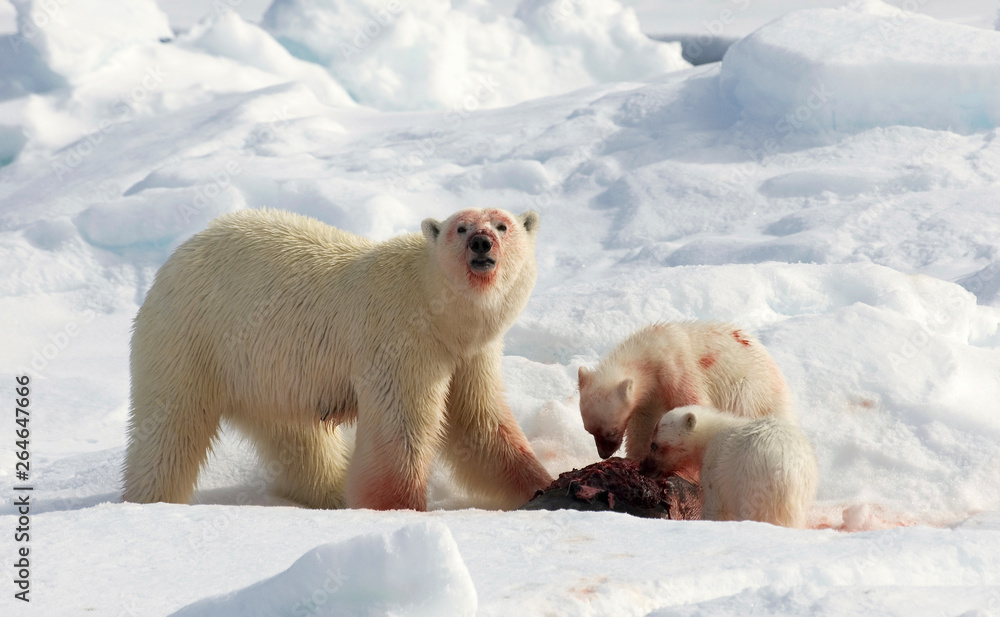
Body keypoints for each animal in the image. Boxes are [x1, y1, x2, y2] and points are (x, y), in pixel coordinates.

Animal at [123, 207, 553, 511]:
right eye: (461, 228)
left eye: (502, 225)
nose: (481, 242)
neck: (436, 311)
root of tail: (172, 262)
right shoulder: (401, 342)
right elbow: (401, 431)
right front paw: (400, 508)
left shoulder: (469, 353)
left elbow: (480, 425)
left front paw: (541, 485)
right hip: (191, 341)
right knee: (170, 430)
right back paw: (148, 500)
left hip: (269, 373)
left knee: (297, 440)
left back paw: (331, 494)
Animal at [577, 321, 795, 461]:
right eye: (589, 430)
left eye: (611, 431)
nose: (604, 454)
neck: (650, 351)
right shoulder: (647, 400)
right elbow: (641, 428)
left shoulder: (677, 368)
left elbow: (693, 402)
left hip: (748, 393)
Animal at [641, 405, 818, 528]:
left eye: (654, 445)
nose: (643, 467)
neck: (709, 436)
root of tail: (787, 473)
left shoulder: (716, 466)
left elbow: (716, 507)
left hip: (751, 482)